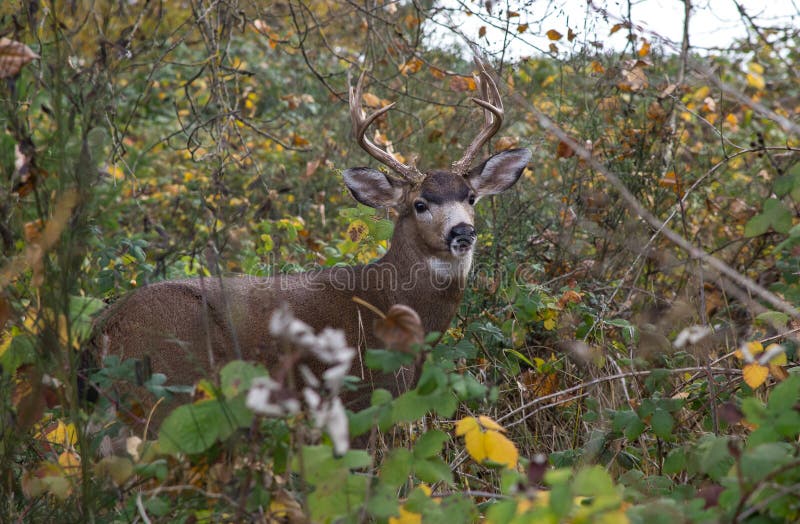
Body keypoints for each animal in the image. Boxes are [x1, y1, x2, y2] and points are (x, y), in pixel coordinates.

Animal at [89, 61, 531, 430]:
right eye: (420, 204)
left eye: (471, 197)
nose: (462, 232)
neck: (391, 302)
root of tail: (103, 328)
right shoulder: (362, 392)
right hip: (169, 390)